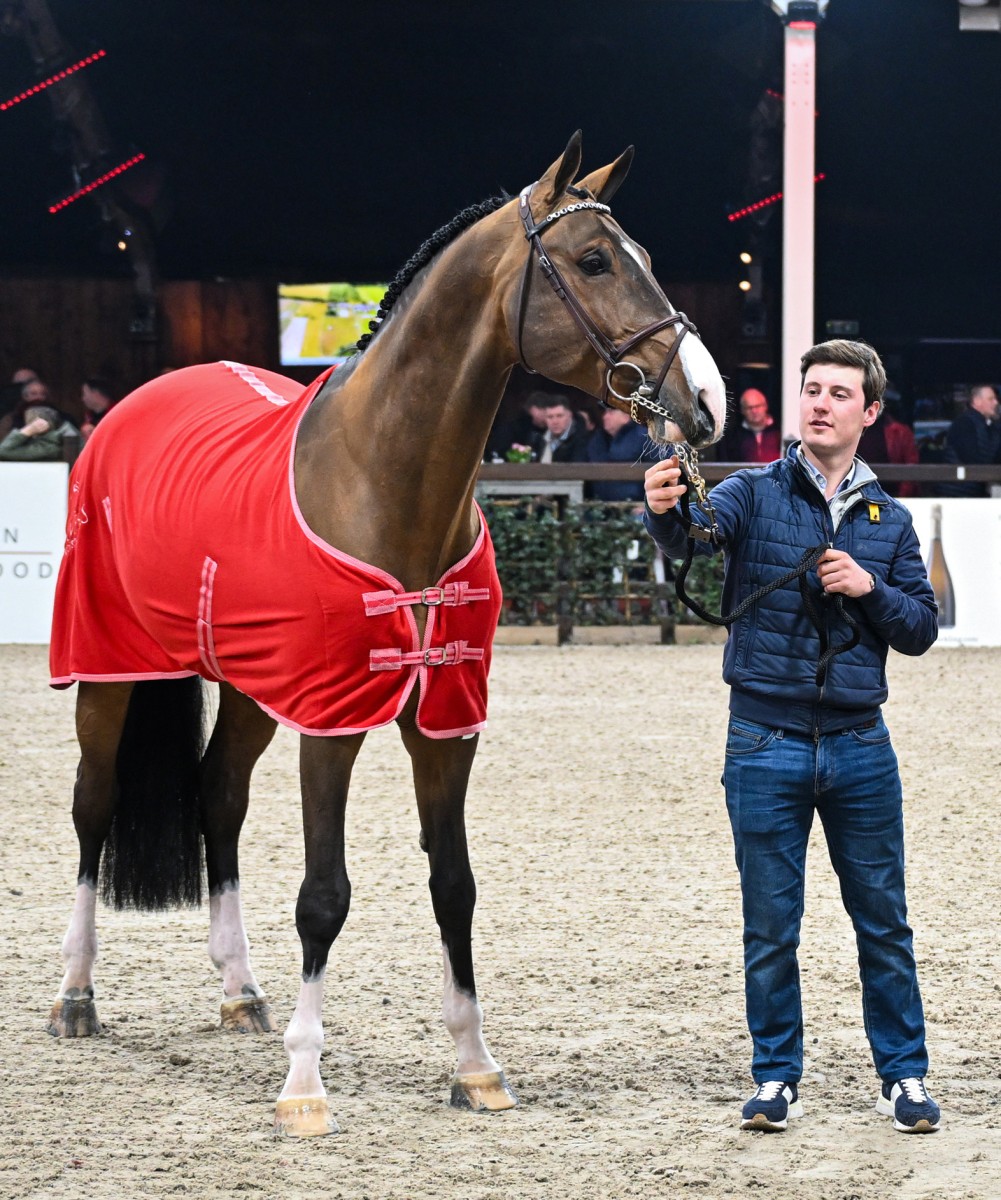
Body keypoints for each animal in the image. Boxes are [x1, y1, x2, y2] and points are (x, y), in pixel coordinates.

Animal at [46, 132, 726, 1136]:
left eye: (638, 255)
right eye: (595, 261)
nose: (709, 403)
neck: (382, 481)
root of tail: (129, 408)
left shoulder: (445, 723)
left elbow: (455, 887)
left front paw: (475, 1067)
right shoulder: (331, 724)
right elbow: (323, 898)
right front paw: (304, 1085)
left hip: (251, 689)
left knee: (218, 797)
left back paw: (239, 990)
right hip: (110, 668)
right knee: (94, 804)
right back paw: (76, 996)